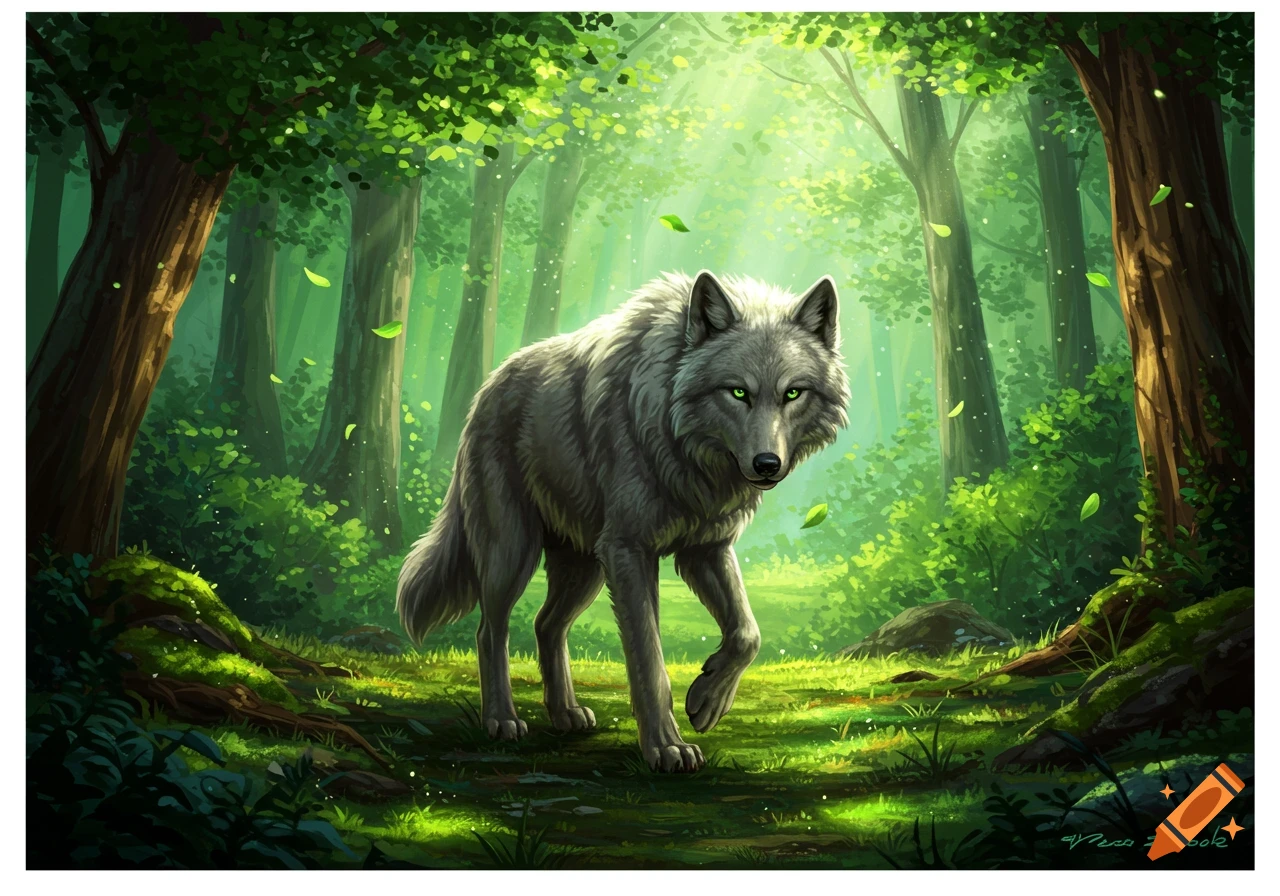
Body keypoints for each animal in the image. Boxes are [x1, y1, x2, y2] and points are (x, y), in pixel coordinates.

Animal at [397, 270, 850, 772]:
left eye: (792, 392)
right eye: (738, 392)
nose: (767, 464)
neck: (676, 437)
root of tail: (488, 386)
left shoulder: (705, 548)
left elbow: (747, 633)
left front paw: (707, 700)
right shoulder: (630, 551)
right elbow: (648, 661)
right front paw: (667, 747)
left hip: (586, 568)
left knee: (545, 625)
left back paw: (566, 713)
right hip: (513, 554)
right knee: (490, 630)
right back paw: (501, 719)